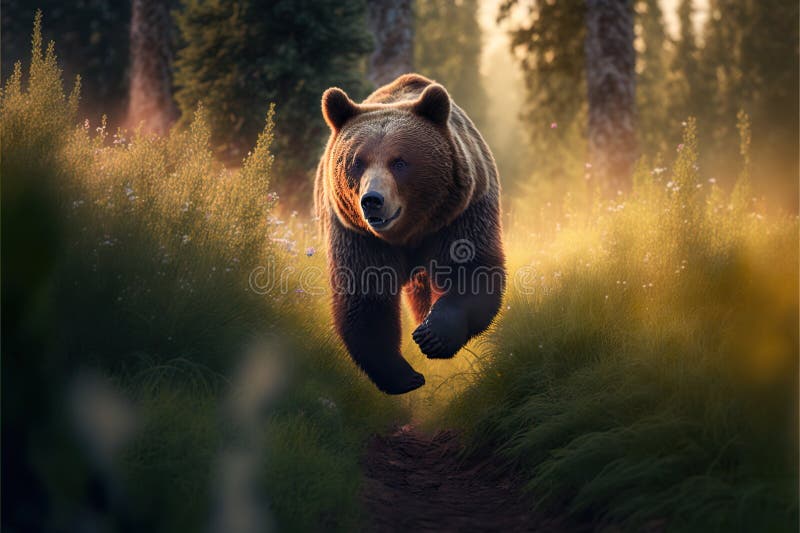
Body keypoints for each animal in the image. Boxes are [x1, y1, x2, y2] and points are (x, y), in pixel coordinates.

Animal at [315, 74, 505, 394]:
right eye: (357, 162)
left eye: (400, 161)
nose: (372, 200)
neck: (409, 232)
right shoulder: (358, 235)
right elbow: (366, 297)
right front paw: (404, 375)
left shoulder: (459, 215)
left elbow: (472, 272)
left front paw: (433, 335)